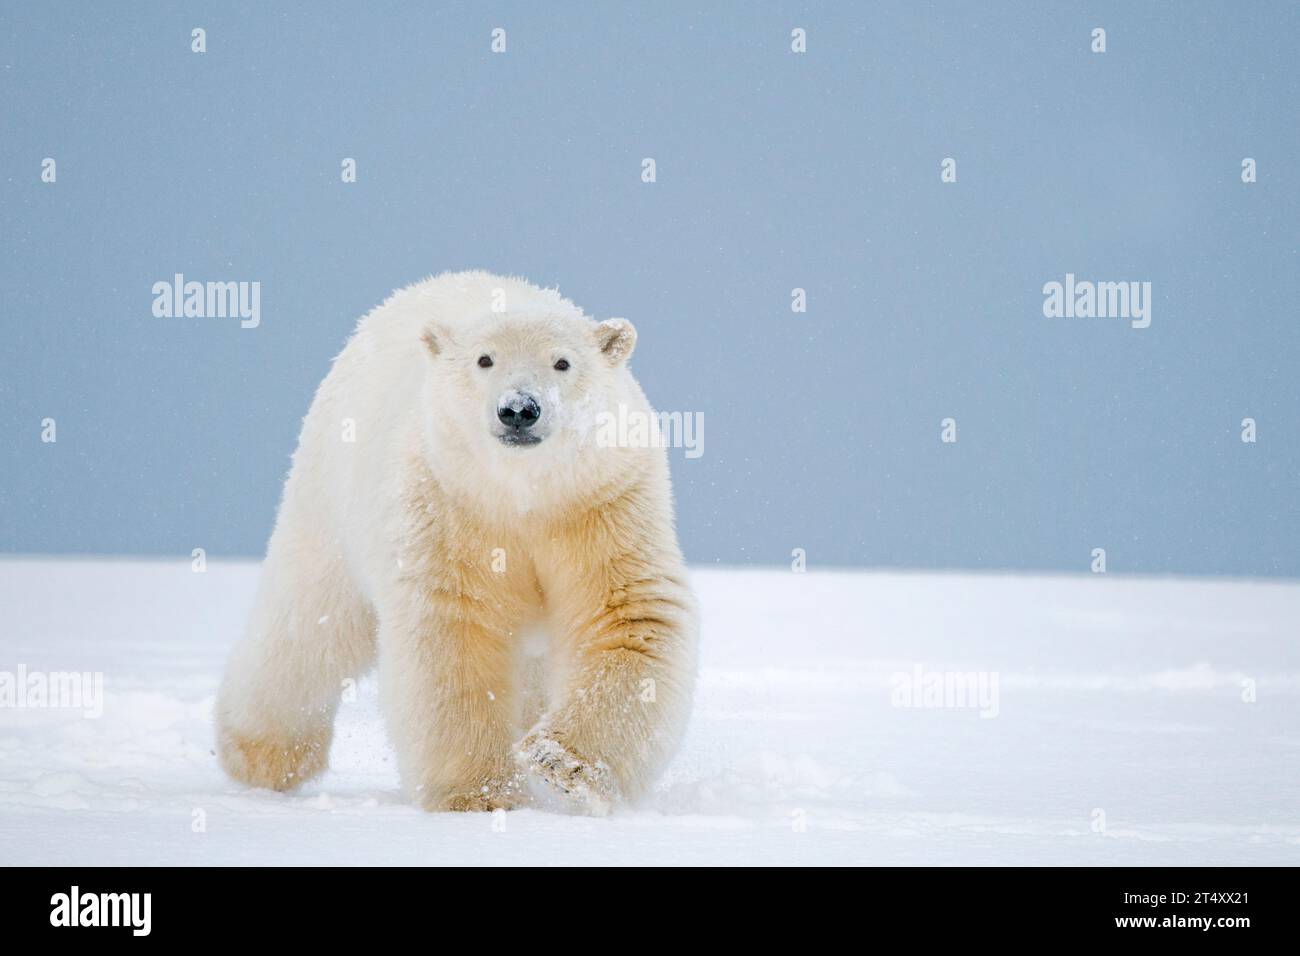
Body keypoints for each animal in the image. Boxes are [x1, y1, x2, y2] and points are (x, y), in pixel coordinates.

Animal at [215, 270, 698, 813]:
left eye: (562, 361)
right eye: (484, 359)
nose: (518, 409)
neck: (520, 494)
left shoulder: (600, 502)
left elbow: (627, 616)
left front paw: (561, 765)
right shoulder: (450, 505)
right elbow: (455, 633)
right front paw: (481, 795)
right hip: (332, 495)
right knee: (311, 626)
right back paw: (260, 754)